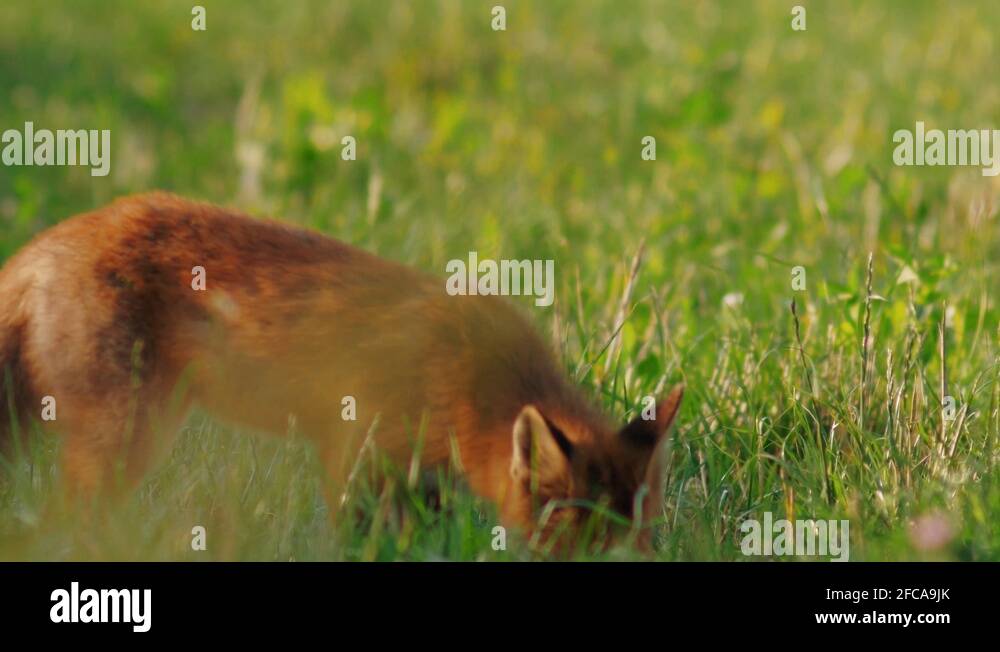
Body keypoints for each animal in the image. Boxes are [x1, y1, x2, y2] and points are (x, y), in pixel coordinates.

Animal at [0, 193, 683, 548]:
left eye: (644, 543)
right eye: (587, 550)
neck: (477, 382)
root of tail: (49, 241)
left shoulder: (422, 475)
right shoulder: (357, 448)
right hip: (125, 436)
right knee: (66, 522)